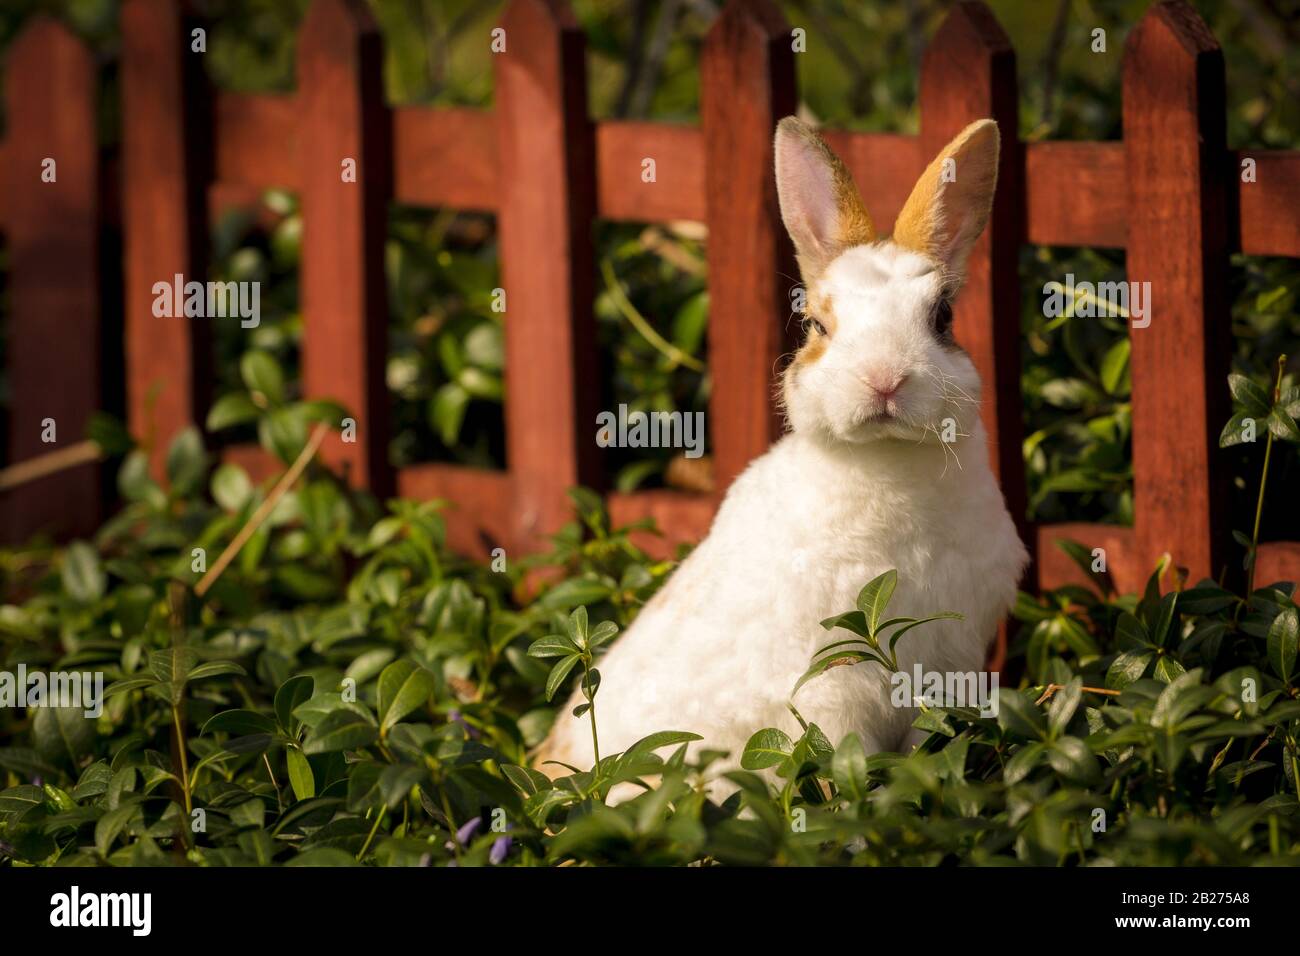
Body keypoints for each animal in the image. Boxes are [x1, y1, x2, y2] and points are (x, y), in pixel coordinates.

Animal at [535, 116, 1028, 791]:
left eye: (943, 317)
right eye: (817, 327)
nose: (885, 379)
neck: (891, 464)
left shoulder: (949, 664)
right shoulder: (830, 684)